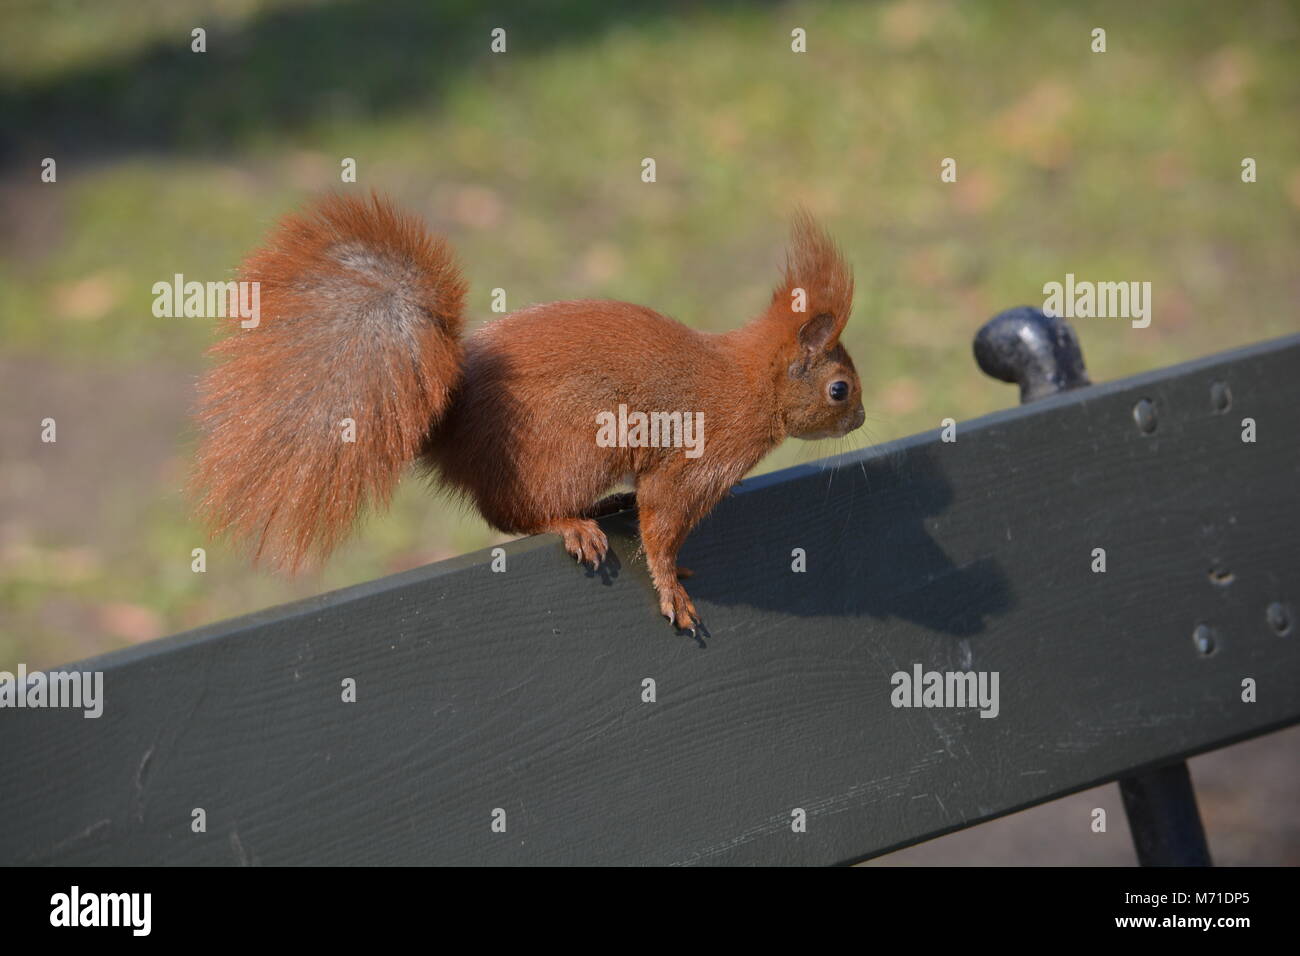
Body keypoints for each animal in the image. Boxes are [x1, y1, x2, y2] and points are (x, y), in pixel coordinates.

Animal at [191, 192, 864, 632]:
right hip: (576, 441)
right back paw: (573, 524)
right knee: (509, 513)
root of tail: (453, 421)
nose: (859, 420)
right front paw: (671, 585)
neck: (751, 383)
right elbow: (662, 520)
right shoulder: (699, 460)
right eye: (839, 390)